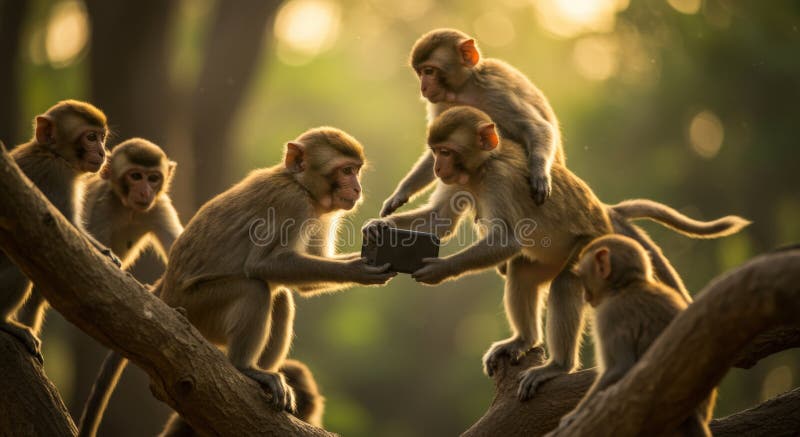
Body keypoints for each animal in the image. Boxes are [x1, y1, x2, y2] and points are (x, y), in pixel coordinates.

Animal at [0, 100, 119, 363]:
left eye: (102, 137)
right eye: (91, 137)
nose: (103, 153)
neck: (52, 153)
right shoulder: (57, 177)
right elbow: (67, 231)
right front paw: (106, 255)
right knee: (20, 268)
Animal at [81, 127, 394, 436]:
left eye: (356, 170)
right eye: (346, 170)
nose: (357, 188)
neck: (299, 184)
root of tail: (166, 299)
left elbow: (303, 280)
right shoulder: (290, 204)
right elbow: (263, 265)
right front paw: (358, 269)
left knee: (280, 298)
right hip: (199, 309)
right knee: (255, 288)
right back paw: (246, 368)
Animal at [364, 106, 748, 400]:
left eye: (445, 151)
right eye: (436, 150)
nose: (437, 167)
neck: (481, 169)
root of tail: (605, 214)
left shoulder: (500, 181)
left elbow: (506, 241)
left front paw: (438, 270)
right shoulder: (461, 183)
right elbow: (440, 221)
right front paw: (377, 228)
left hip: (589, 246)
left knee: (564, 283)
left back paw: (558, 365)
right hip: (549, 258)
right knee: (523, 273)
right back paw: (524, 340)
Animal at [558, 234, 716, 436]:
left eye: (582, 277)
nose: (586, 297)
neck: (626, 286)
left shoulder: (610, 315)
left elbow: (621, 367)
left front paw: (573, 417)